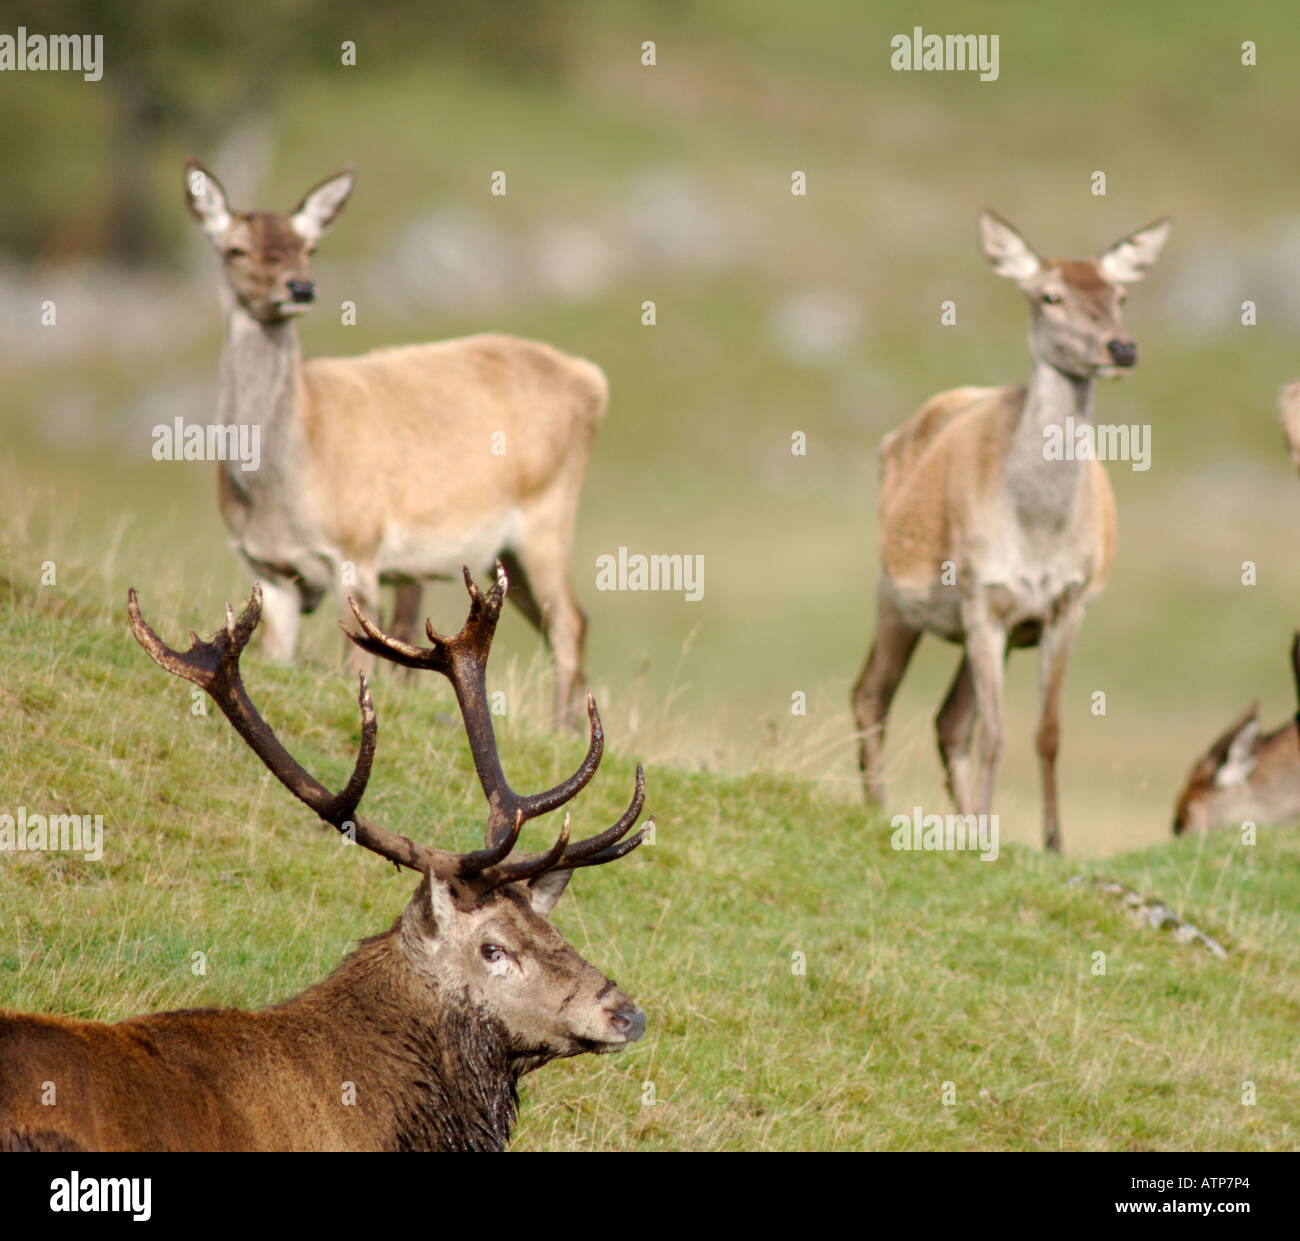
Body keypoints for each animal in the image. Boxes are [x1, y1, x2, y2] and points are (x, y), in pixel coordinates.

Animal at [183, 157, 608, 725]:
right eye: (237, 249)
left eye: (309, 247)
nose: (300, 287)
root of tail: (592, 380)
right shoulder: (268, 570)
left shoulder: (358, 549)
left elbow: (356, 665)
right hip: (506, 552)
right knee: (568, 623)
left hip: (548, 518)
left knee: (568, 624)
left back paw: (559, 729)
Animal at [852, 210, 1170, 853]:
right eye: (1050, 295)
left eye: (1121, 295)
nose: (1122, 347)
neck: (1037, 528)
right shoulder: (981, 596)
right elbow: (996, 733)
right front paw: (992, 835)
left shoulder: (1067, 603)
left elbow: (1046, 731)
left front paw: (1052, 843)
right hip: (896, 593)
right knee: (872, 694)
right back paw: (882, 809)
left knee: (948, 719)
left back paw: (967, 822)